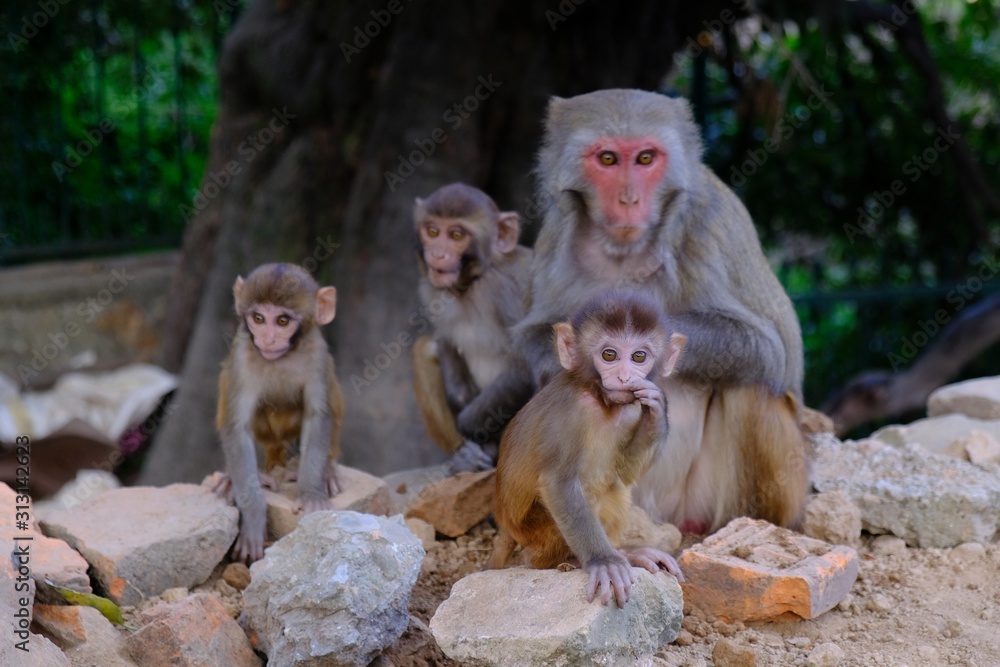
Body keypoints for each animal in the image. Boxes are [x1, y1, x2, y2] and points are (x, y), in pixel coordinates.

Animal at [213, 263, 344, 563]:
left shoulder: (317, 352)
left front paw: (311, 493)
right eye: (259, 318)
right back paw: (233, 478)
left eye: (282, 321)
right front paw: (253, 519)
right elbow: (236, 427)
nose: (268, 338)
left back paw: (328, 469)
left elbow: (318, 415)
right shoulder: (242, 355)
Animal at [411, 183, 535, 472]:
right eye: (432, 231)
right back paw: (462, 453)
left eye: (457, 235)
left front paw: (467, 424)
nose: (437, 254)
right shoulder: (431, 291)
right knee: (423, 348)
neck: (474, 283)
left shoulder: (504, 291)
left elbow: (524, 368)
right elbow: (443, 341)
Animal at [487, 291, 686, 607]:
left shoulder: (630, 408)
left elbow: (626, 474)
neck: (600, 398)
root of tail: (504, 524)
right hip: (530, 530)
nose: (624, 377)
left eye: (639, 356)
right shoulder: (568, 412)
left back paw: (628, 553)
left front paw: (658, 412)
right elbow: (559, 483)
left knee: (615, 489)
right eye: (609, 355)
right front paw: (603, 561)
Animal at [511, 89, 809, 535]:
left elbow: (774, 350)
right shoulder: (554, 233)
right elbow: (533, 341)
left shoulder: (710, 221)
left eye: (646, 158)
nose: (629, 200)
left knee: (753, 384)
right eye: (608, 159)